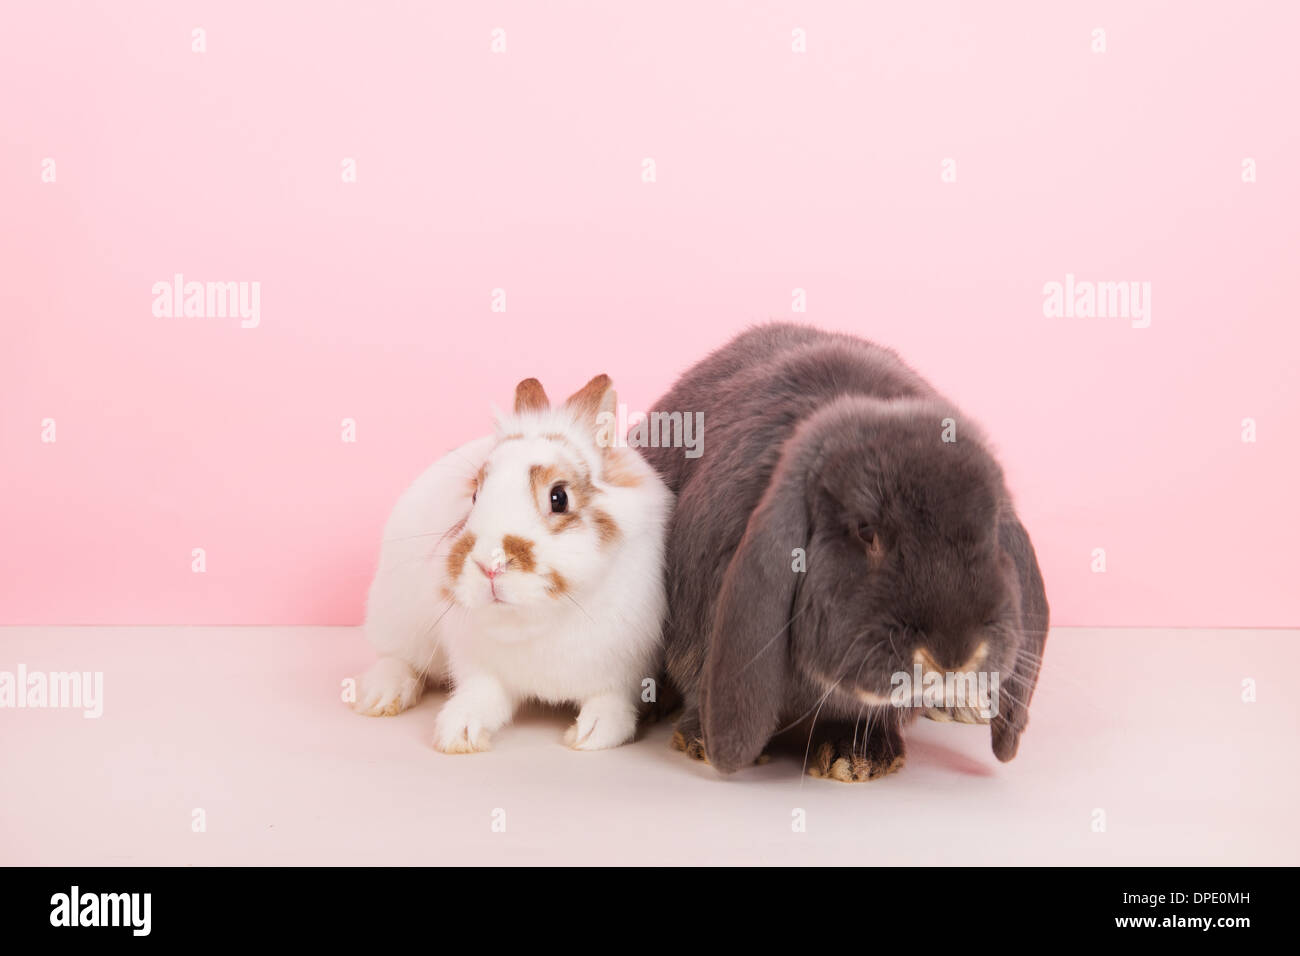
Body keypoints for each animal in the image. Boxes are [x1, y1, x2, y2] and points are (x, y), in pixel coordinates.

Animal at [353, 373, 674, 754]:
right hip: (397, 619)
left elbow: (611, 704)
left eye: (559, 497)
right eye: (475, 495)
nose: (489, 566)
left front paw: (592, 735)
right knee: (397, 658)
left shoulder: (626, 674)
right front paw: (458, 733)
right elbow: (479, 695)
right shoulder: (482, 667)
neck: (538, 618)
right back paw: (381, 695)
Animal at [640, 323, 1049, 781]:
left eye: (992, 528)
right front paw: (700, 744)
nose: (954, 655)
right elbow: (698, 685)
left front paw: (857, 757)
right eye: (866, 530)